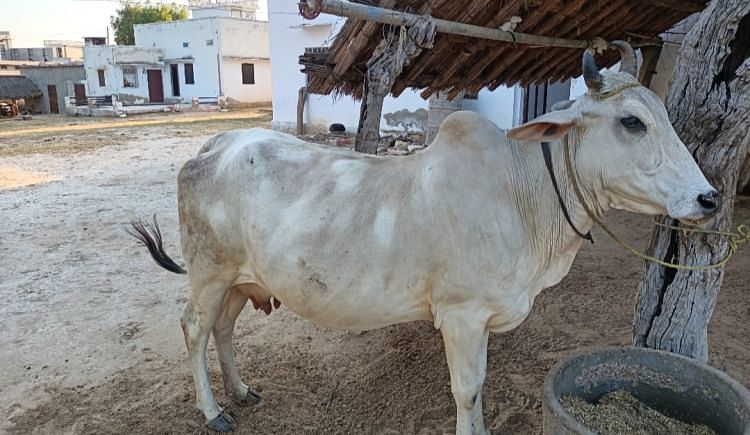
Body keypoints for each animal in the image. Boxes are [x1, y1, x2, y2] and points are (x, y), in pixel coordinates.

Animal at [131, 42, 720, 434]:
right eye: (631, 121)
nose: (709, 198)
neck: (521, 193)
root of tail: (216, 144)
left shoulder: (481, 319)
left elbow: (479, 389)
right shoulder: (461, 315)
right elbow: (467, 390)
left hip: (238, 278)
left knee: (223, 329)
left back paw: (241, 391)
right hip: (209, 274)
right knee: (195, 329)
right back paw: (214, 412)